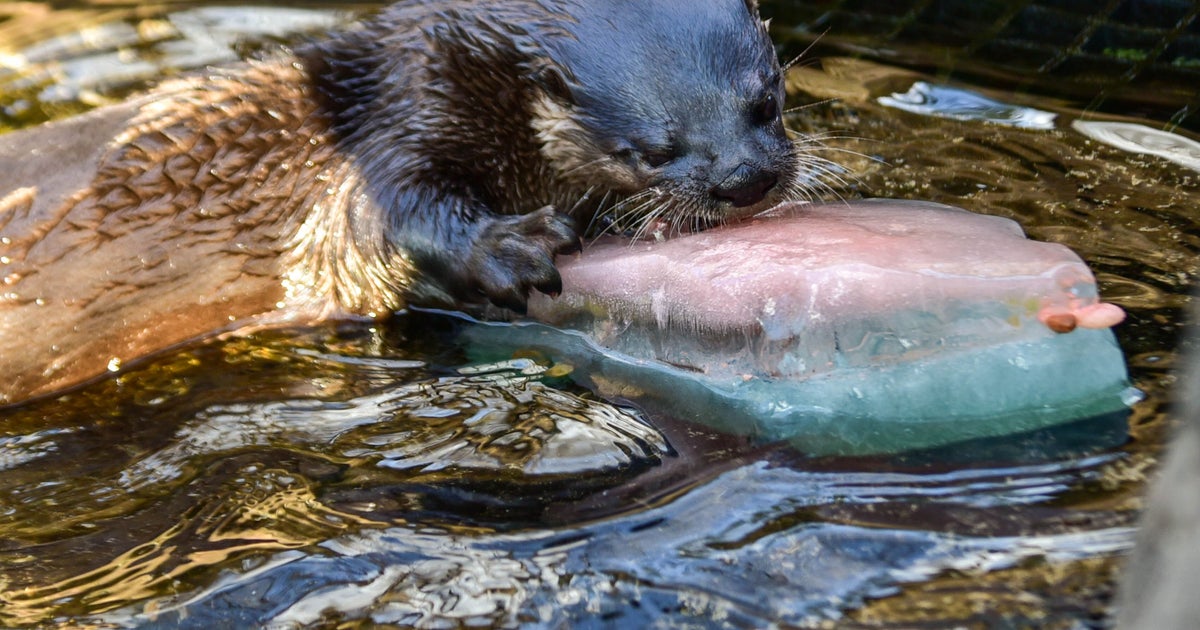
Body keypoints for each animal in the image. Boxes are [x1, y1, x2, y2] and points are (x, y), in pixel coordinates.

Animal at [0, 0, 809, 405]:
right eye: (654, 148)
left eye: (766, 101)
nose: (746, 178)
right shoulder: (398, 126)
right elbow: (392, 217)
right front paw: (512, 247)